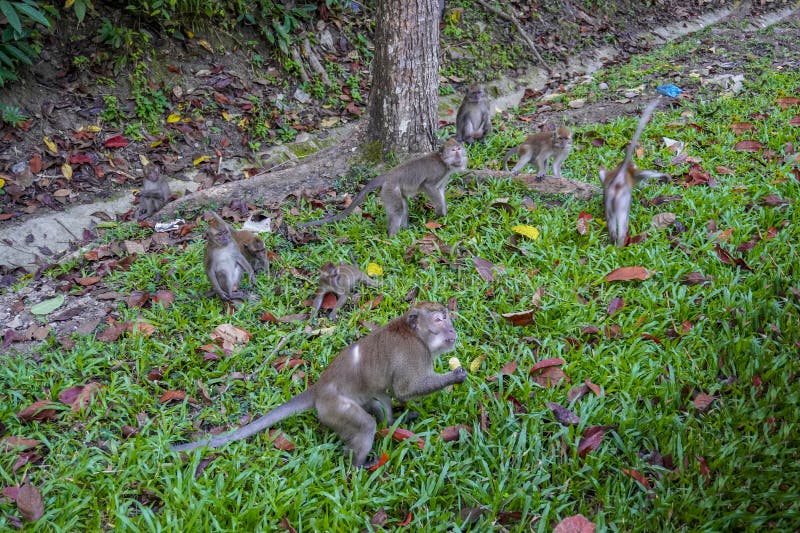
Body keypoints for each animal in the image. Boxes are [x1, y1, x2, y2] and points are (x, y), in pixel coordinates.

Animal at [169, 301, 467, 467]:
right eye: (439, 320)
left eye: (447, 317)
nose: (453, 330)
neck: (415, 335)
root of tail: (320, 387)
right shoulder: (414, 354)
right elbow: (404, 390)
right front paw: (455, 376)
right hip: (334, 409)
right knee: (364, 424)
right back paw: (357, 465)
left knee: (379, 399)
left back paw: (392, 423)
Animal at [298, 138, 467, 237]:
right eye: (453, 150)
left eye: (459, 148)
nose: (459, 154)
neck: (444, 162)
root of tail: (387, 175)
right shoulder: (437, 173)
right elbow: (429, 187)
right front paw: (440, 214)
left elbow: (440, 190)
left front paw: (444, 212)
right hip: (390, 189)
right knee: (398, 209)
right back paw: (392, 238)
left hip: (392, 190)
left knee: (402, 206)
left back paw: (403, 231)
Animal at [599, 97, 669, 247]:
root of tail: (619, 179)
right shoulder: (636, 174)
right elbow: (648, 174)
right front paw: (664, 177)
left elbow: (601, 173)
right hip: (623, 201)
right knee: (622, 221)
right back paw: (620, 243)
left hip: (609, 201)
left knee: (611, 222)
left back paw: (613, 241)